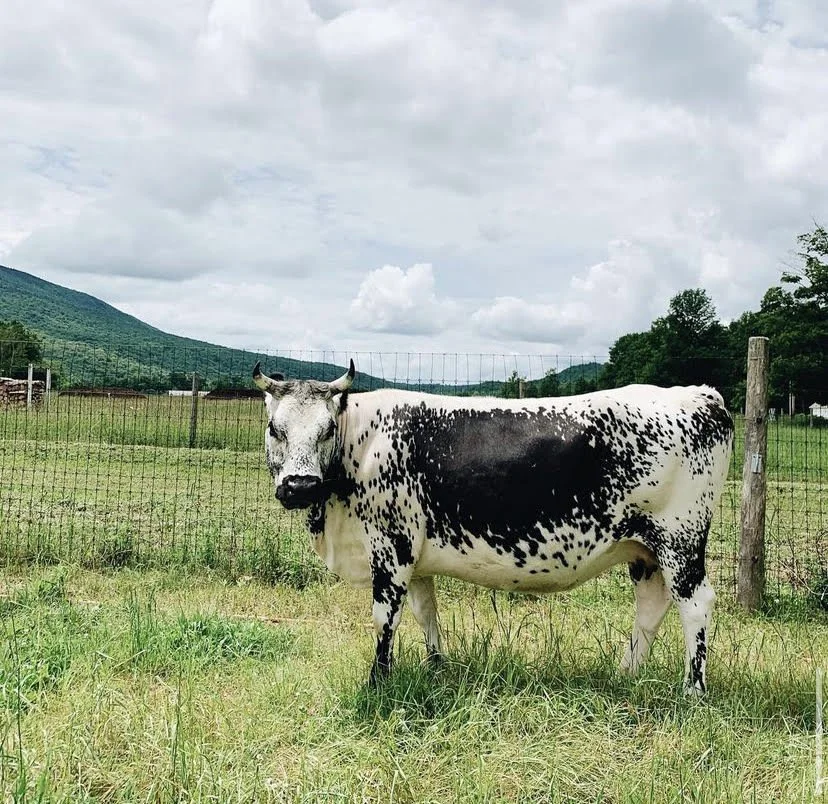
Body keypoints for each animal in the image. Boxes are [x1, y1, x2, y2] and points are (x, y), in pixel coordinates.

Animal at [253, 361, 734, 694]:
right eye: (275, 429)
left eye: (325, 429)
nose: (300, 486)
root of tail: (700, 395)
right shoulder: (417, 555)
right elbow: (426, 613)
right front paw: (437, 668)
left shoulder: (391, 546)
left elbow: (384, 617)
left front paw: (377, 682)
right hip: (645, 549)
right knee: (651, 607)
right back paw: (626, 675)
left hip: (680, 539)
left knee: (695, 604)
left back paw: (692, 690)